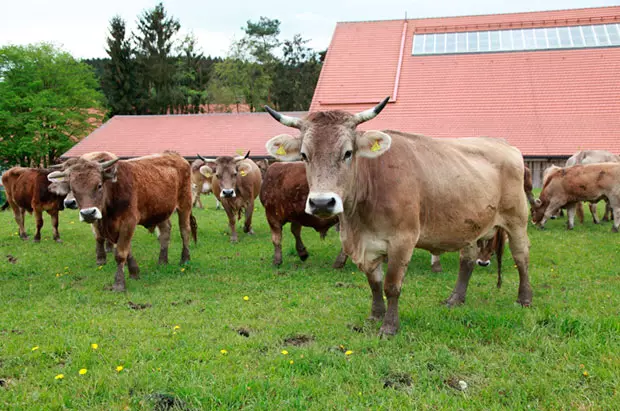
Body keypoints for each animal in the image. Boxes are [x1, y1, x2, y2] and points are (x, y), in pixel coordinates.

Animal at [48, 152, 196, 292]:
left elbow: (120, 253)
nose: (88, 213)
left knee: (185, 231)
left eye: (99, 185)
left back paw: (185, 259)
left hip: (185, 204)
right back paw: (162, 261)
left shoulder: (128, 222)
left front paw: (119, 284)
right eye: (72, 188)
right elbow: (125, 249)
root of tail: (175, 155)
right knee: (165, 232)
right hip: (160, 211)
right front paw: (134, 272)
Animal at [264, 98, 532, 336]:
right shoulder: (367, 245)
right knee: (467, 260)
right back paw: (455, 299)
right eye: (304, 155)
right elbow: (374, 283)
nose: (321, 202)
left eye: (348, 153)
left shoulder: (402, 240)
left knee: (521, 258)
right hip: (471, 225)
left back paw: (524, 299)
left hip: (517, 220)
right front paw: (375, 316)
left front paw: (389, 327)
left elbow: (392, 285)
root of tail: (506, 145)